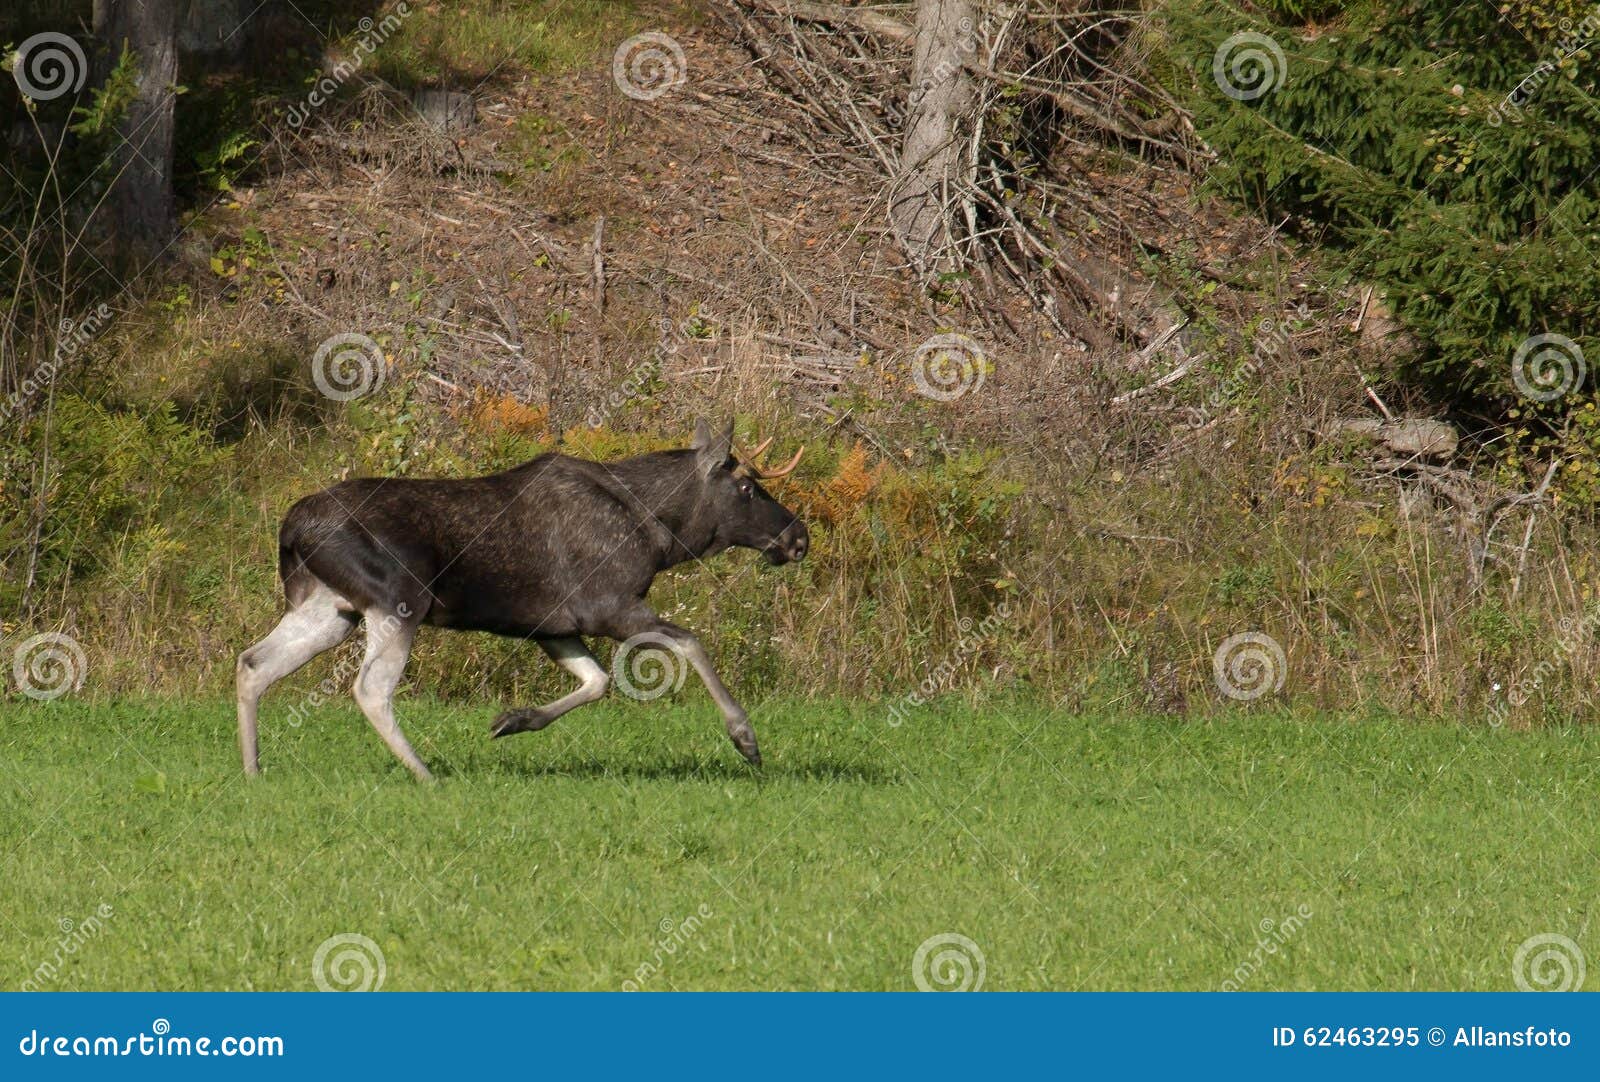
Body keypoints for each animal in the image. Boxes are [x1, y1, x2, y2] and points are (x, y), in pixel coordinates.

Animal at [235, 420, 808, 781]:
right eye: (747, 488)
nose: (799, 537)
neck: (663, 538)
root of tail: (291, 528)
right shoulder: (610, 605)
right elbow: (690, 643)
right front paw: (746, 739)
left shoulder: (552, 628)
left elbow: (598, 681)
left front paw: (513, 721)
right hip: (398, 601)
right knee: (370, 689)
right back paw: (425, 774)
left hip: (332, 610)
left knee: (252, 663)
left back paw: (253, 771)